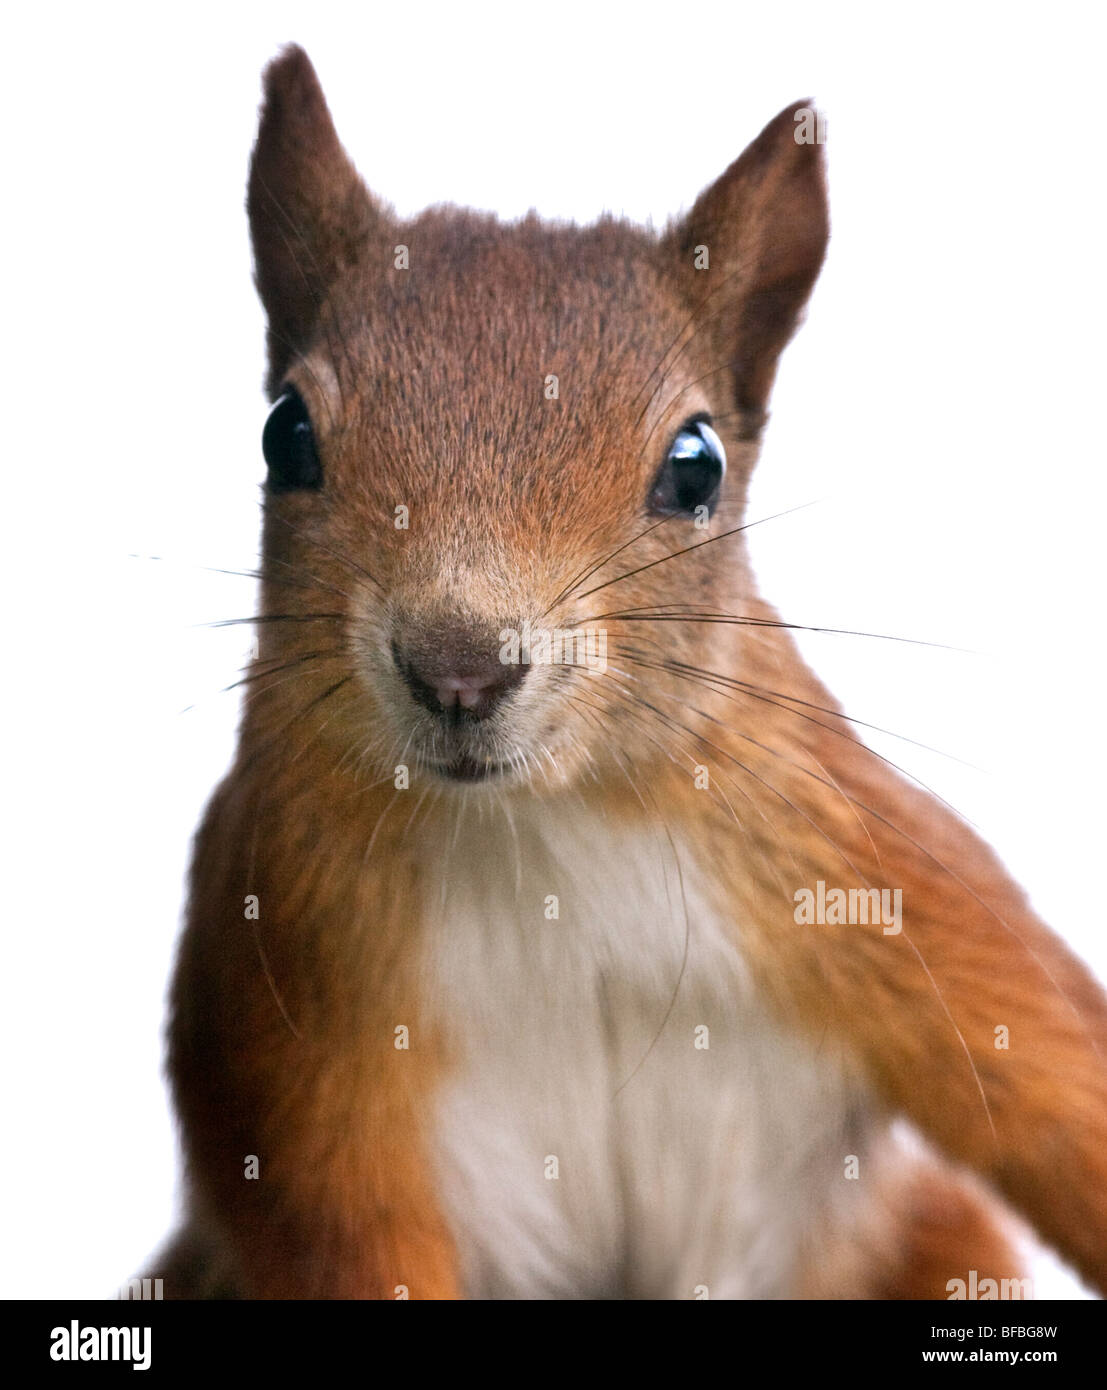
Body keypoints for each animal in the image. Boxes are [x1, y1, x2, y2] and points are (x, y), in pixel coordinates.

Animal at [152, 44, 1107, 1299]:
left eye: (695, 465)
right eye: (285, 435)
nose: (460, 668)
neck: (540, 831)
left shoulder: (882, 878)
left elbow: (1056, 1073)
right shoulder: (292, 1035)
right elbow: (344, 1239)